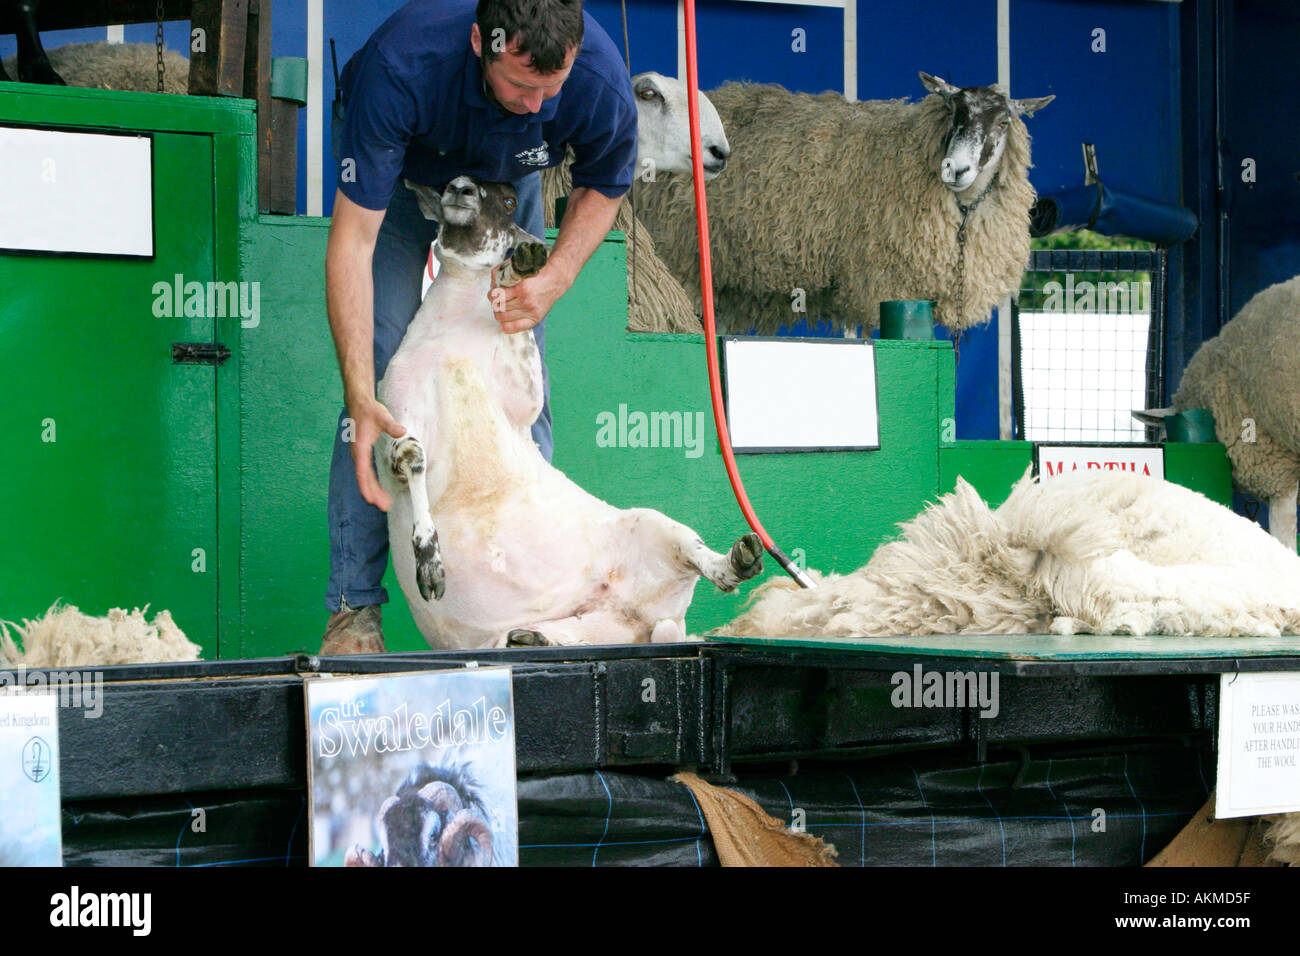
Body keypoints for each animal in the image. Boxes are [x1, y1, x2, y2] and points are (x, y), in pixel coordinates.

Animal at [376, 174, 763, 649]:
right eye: (454, 181)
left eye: (509, 199)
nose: (460, 187)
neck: (455, 341)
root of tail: (649, 620)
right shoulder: (395, 421)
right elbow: (414, 457)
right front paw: (430, 563)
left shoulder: (522, 398)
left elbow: (512, 317)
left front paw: (520, 266)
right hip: (566, 629)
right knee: (560, 638)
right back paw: (532, 638)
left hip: (654, 525)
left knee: (703, 560)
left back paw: (739, 559)